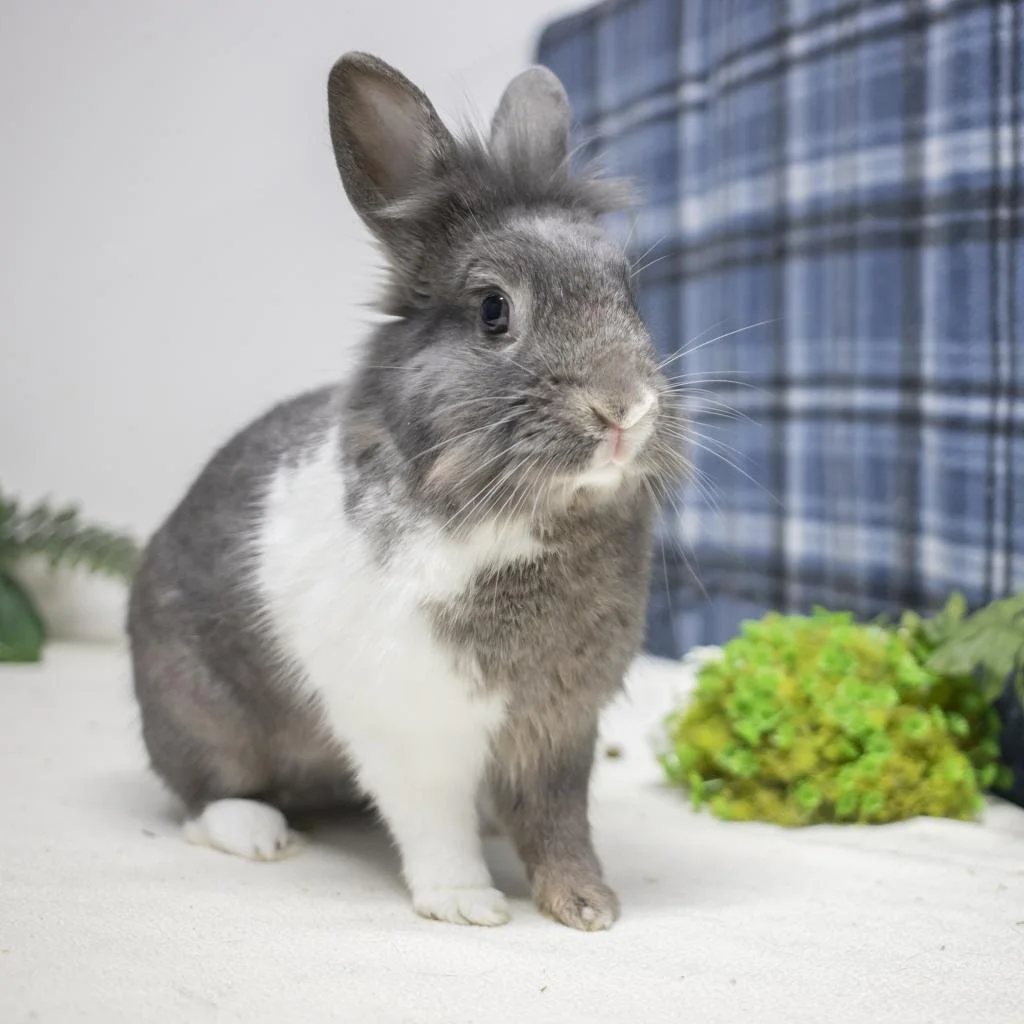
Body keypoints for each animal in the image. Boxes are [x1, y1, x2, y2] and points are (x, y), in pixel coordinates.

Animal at [128, 51, 685, 931]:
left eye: (628, 293)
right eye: (493, 310)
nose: (623, 407)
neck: (524, 517)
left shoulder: (558, 728)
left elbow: (558, 820)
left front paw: (587, 905)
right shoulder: (412, 732)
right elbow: (433, 823)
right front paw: (468, 903)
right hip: (199, 714)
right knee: (201, 798)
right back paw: (259, 833)